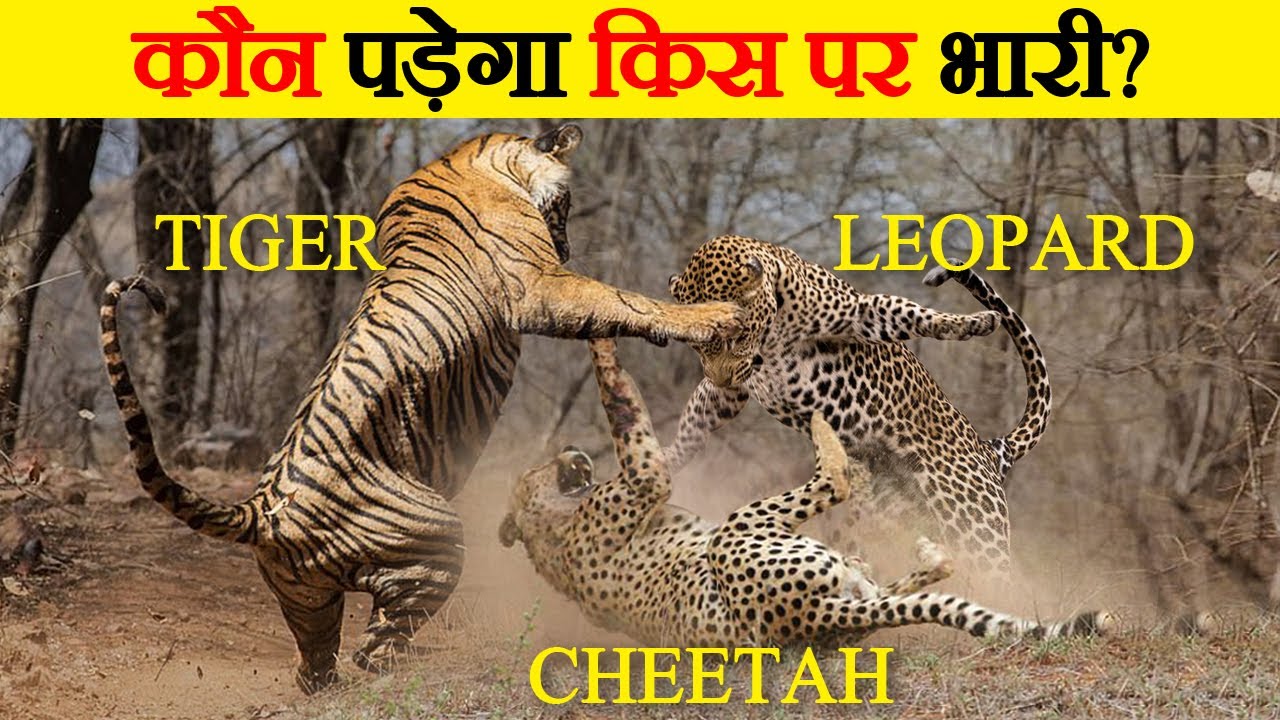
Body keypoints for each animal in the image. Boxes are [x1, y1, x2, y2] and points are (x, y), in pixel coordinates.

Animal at [98, 124, 743, 693]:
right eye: (565, 209)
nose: (565, 244)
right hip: (438, 539)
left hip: (306, 600)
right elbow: (621, 298)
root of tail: (264, 512)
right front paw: (714, 316)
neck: (482, 159)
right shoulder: (539, 284)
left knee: (320, 665)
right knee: (376, 647)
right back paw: (421, 670)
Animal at [500, 338, 1105, 648]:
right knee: (837, 483)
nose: (571, 453)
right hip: (737, 531)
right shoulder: (645, 479)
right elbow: (620, 401)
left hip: (844, 578)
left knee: (896, 576)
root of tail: (810, 620)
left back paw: (918, 550)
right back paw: (836, 447)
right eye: (537, 470)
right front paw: (600, 339)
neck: (548, 532)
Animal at [664, 236, 1052, 578]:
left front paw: (975, 322)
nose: (722, 375)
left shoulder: (858, 314)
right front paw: (665, 461)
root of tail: (989, 448)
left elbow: (909, 312)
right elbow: (695, 421)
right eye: (698, 344)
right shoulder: (732, 390)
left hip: (977, 527)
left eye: (737, 334)